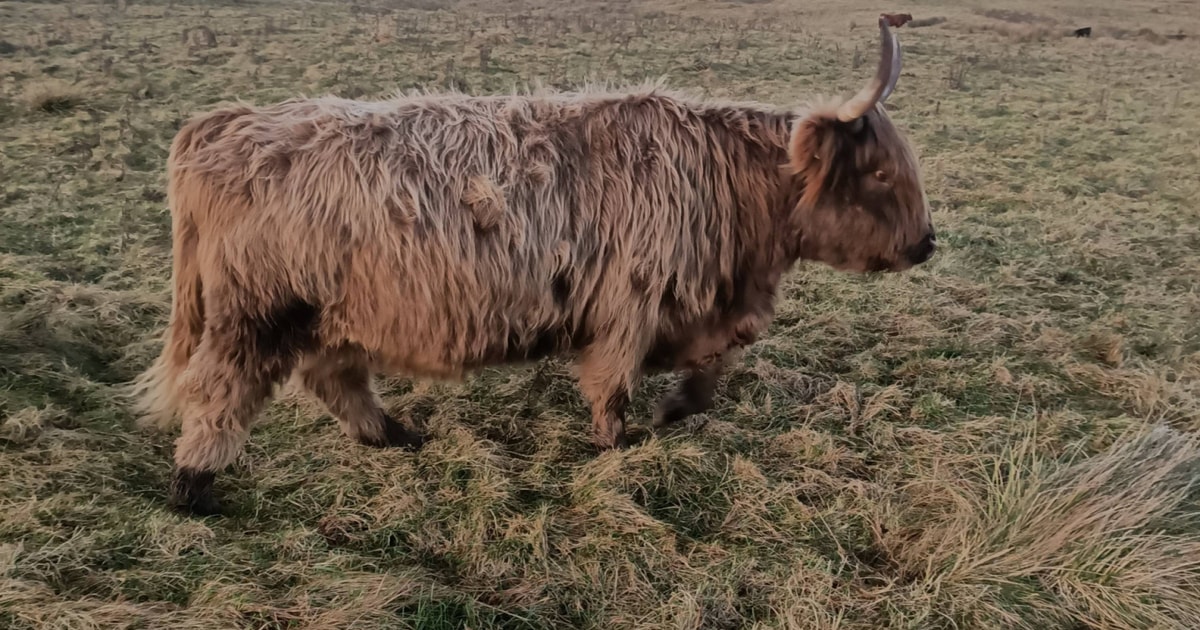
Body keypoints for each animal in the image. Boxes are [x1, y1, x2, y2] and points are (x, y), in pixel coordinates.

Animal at [132, 16, 936, 516]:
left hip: (333, 310)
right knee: (224, 389)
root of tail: (232, 123)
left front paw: (676, 410)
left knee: (335, 375)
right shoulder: (631, 304)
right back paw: (194, 486)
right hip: (257, 314)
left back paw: (393, 435)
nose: (927, 242)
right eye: (881, 175)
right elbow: (613, 387)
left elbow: (710, 374)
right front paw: (619, 444)